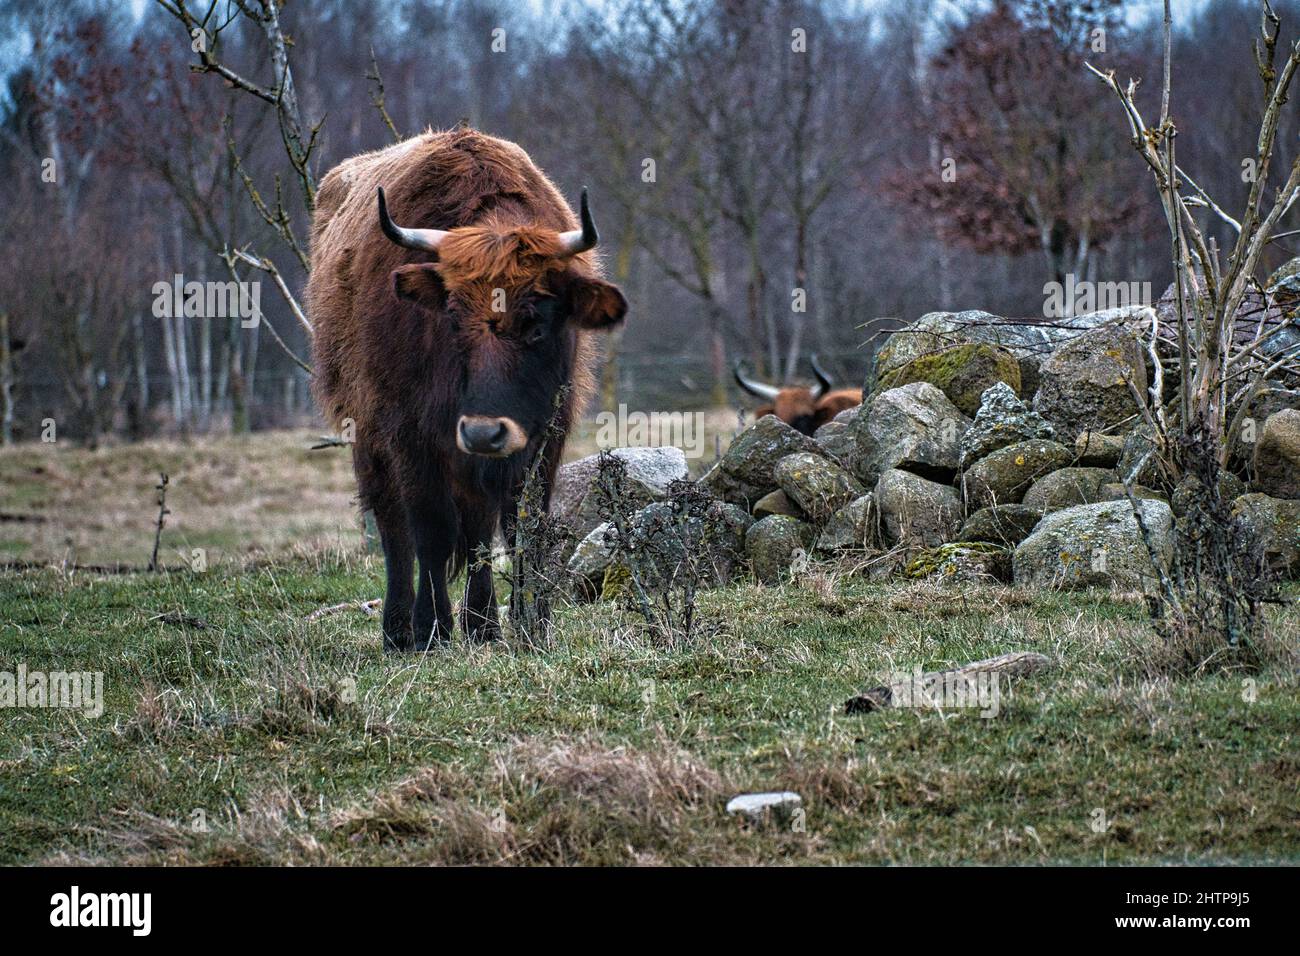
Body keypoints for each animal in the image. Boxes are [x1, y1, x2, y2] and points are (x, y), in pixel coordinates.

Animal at [308, 128, 627, 652]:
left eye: (536, 324)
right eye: (453, 318)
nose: (483, 432)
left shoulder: (545, 435)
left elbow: (523, 529)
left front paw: (532, 625)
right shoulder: (408, 434)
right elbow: (430, 531)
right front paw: (432, 628)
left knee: (477, 525)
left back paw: (482, 625)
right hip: (367, 436)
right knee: (394, 528)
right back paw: (399, 629)